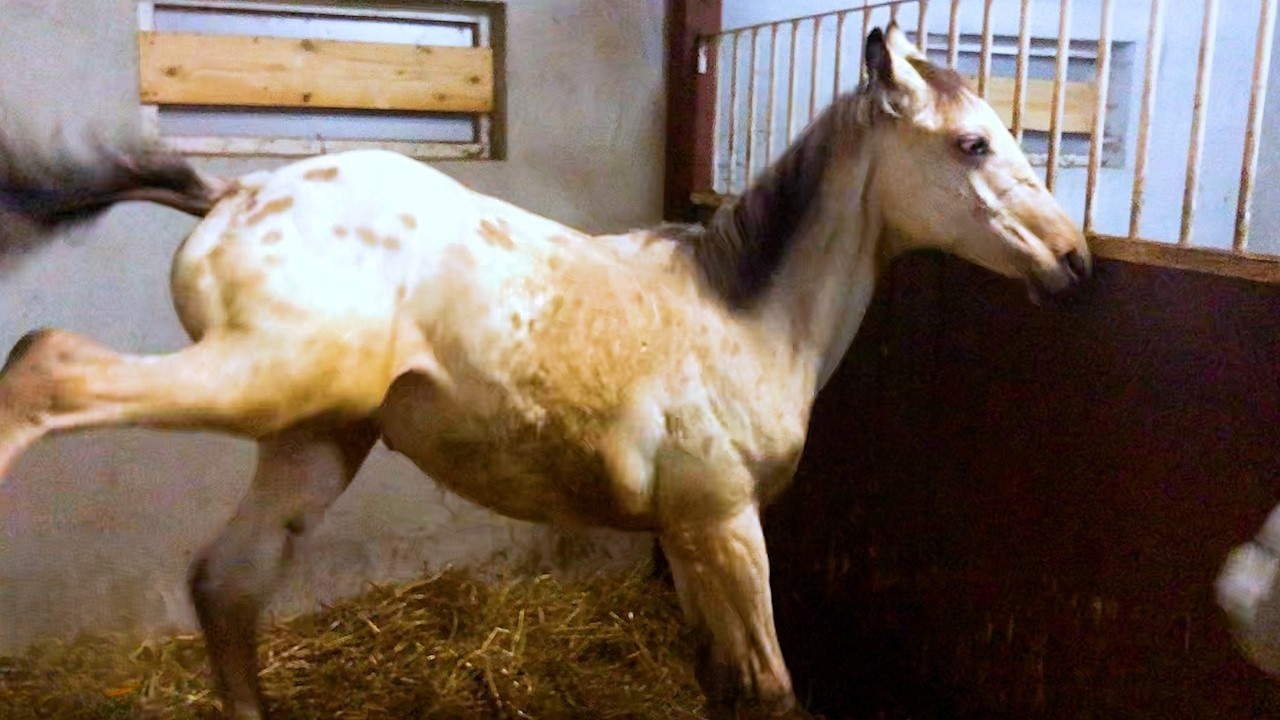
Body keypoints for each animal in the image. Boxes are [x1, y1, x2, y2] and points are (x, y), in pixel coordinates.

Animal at [0, 25, 1090, 719]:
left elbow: (723, 687)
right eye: (971, 142)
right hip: (257, 379)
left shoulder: (685, 535)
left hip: (314, 437)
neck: (744, 314)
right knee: (49, 368)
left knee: (225, 586)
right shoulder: (722, 520)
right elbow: (770, 691)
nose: (1074, 262)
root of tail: (234, 192)